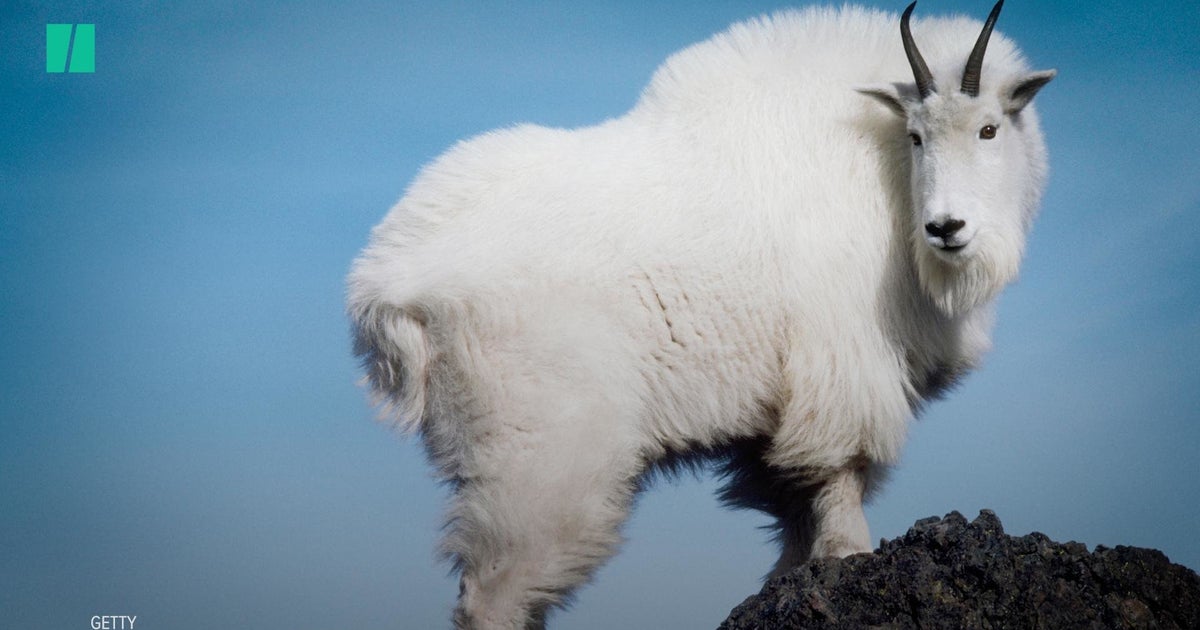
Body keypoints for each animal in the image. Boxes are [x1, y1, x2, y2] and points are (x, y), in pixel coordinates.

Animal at [347, 2, 1054, 627]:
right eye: (916, 135)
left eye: (990, 128)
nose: (947, 228)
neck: (883, 175)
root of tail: (388, 284)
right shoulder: (840, 364)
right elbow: (840, 478)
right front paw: (852, 557)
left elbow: (792, 513)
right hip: (540, 450)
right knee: (495, 592)